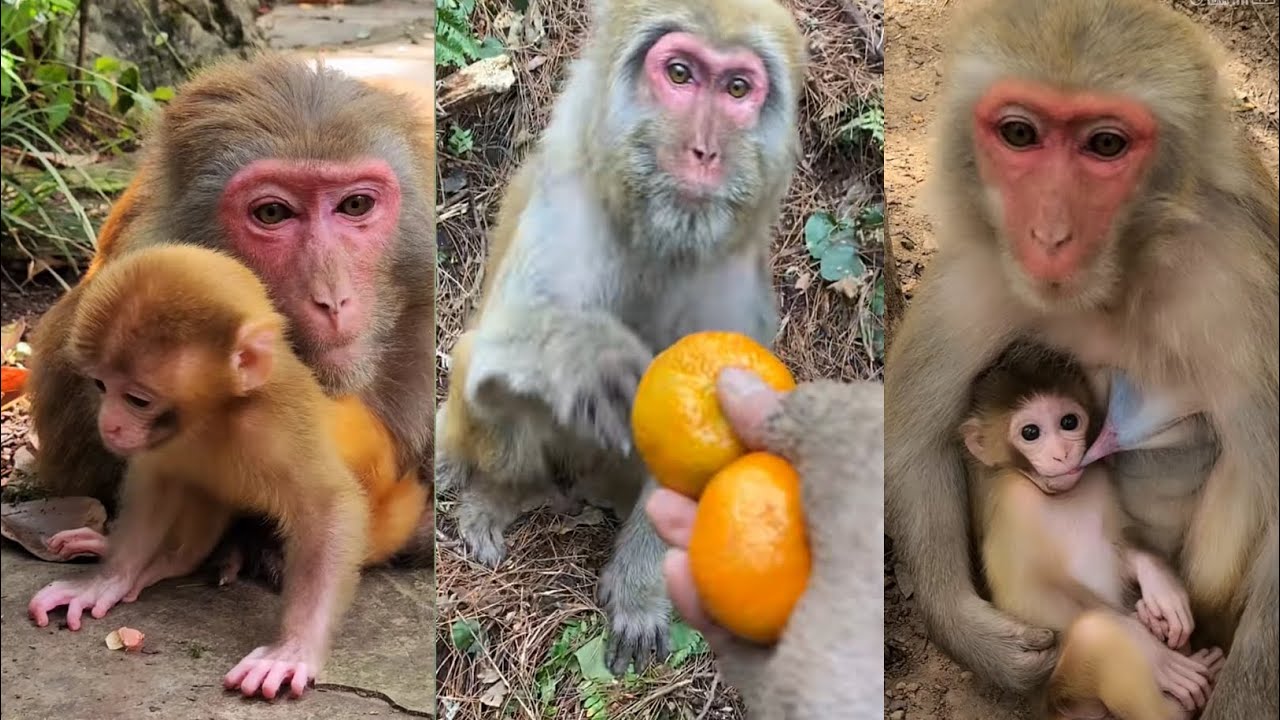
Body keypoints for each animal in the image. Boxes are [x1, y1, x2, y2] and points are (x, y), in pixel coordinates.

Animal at [28, 244, 374, 700]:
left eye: (137, 400)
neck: (215, 416)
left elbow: (327, 508)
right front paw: (106, 580)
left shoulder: (276, 426)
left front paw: (292, 651)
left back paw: (171, 561)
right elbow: (156, 479)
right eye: (101, 386)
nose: (110, 426)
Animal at [434, 0, 808, 672]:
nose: (703, 151)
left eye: (737, 88)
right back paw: (495, 496)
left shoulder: (736, 276)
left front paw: (637, 595)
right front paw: (590, 358)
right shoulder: (566, 209)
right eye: (680, 73)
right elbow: (496, 344)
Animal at [960, 349, 1224, 719]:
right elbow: (1030, 599)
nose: (1062, 453)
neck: (1061, 496)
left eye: (1069, 422)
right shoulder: (1014, 504)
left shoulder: (1098, 480)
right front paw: (1150, 649)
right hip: (1062, 698)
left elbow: (1121, 547)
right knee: (1097, 635)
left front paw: (1162, 589)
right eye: (1031, 432)